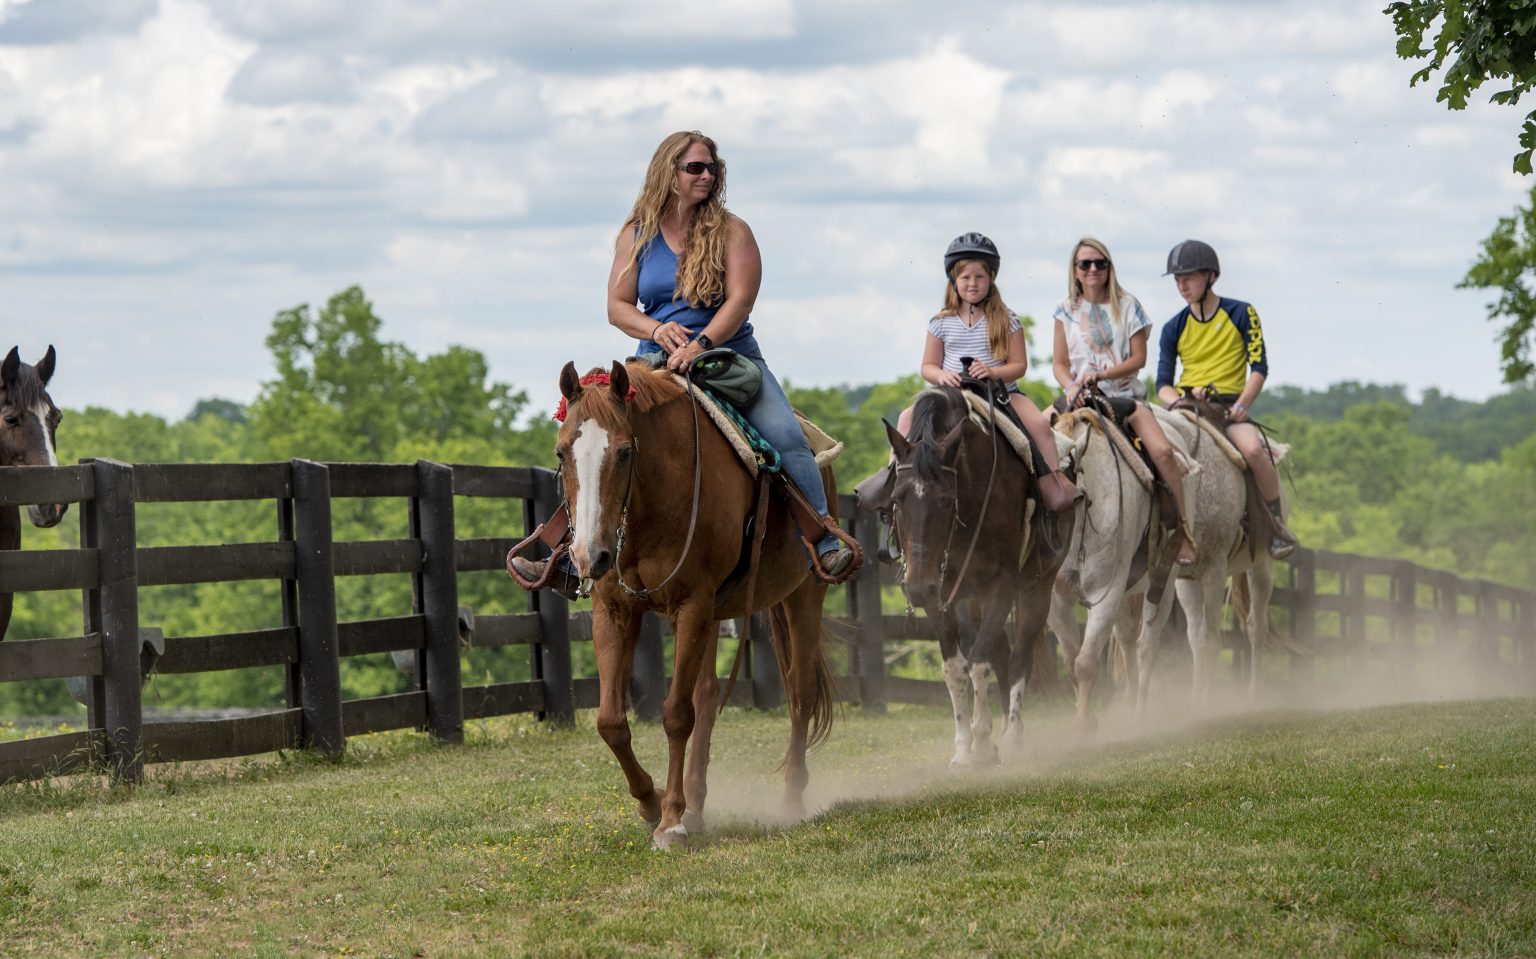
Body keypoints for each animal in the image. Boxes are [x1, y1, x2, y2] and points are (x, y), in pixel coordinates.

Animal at [541, 359, 838, 849]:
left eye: (625, 452)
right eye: (562, 453)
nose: (589, 556)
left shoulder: (692, 604)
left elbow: (677, 715)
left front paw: (671, 821)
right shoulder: (615, 612)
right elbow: (611, 721)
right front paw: (652, 801)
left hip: (803, 594)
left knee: (800, 690)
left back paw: (791, 798)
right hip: (716, 614)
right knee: (709, 693)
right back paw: (697, 804)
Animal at [882, 386, 1069, 767]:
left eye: (946, 499)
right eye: (896, 498)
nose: (917, 589)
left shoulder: (1002, 583)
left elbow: (980, 661)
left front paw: (983, 743)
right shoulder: (942, 593)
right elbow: (956, 667)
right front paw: (964, 749)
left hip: (1037, 588)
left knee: (1018, 656)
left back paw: (1012, 735)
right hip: (971, 597)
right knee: (999, 651)